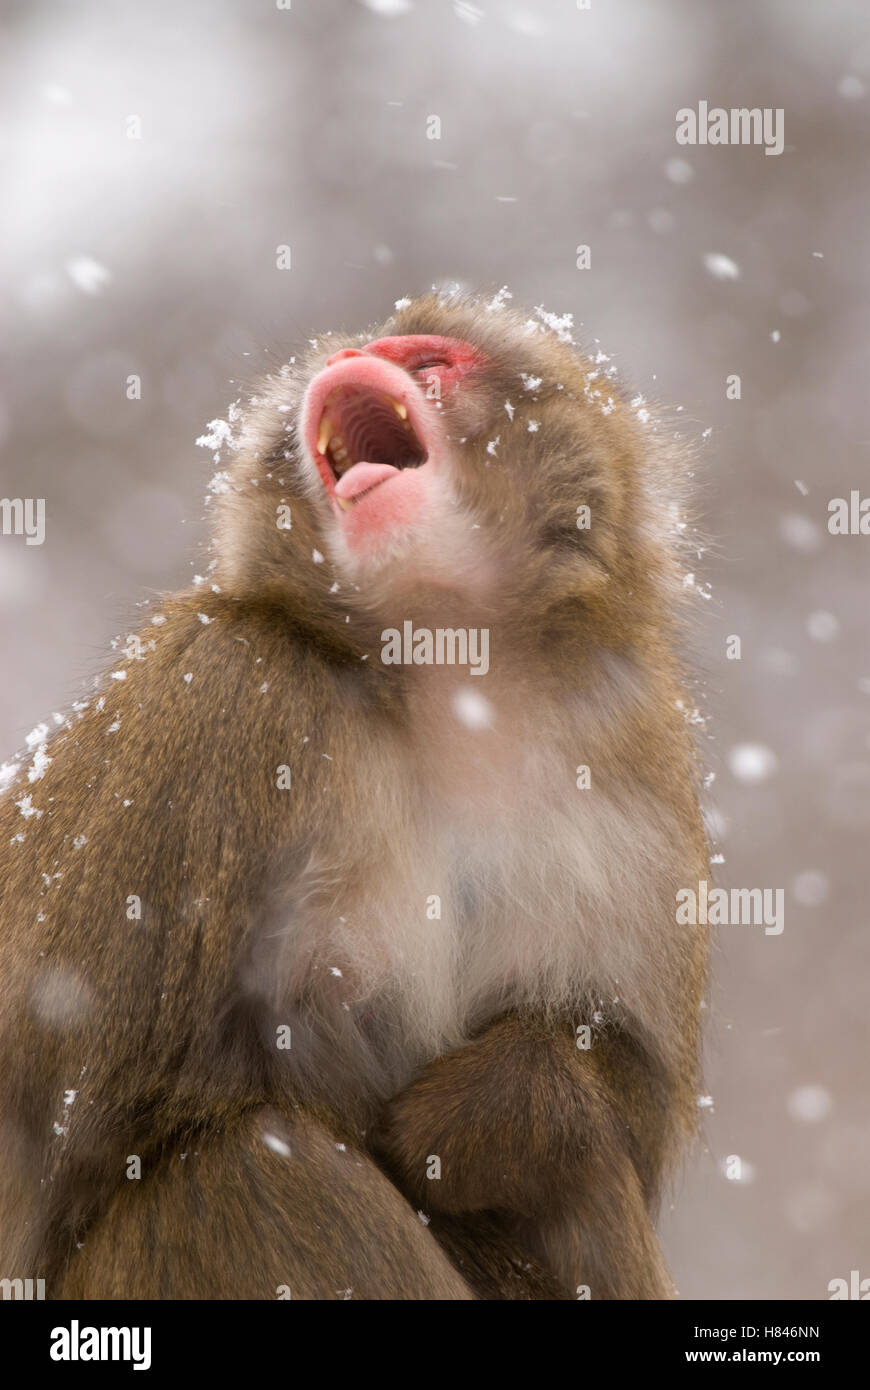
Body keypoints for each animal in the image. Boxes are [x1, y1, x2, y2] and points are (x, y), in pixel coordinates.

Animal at [0, 291, 709, 1301]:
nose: (346, 359)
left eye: (430, 358)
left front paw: (490, 1110)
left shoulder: (631, 764)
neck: (447, 670)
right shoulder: (229, 691)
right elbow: (67, 1111)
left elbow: (631, 1103)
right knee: (250, 1165)